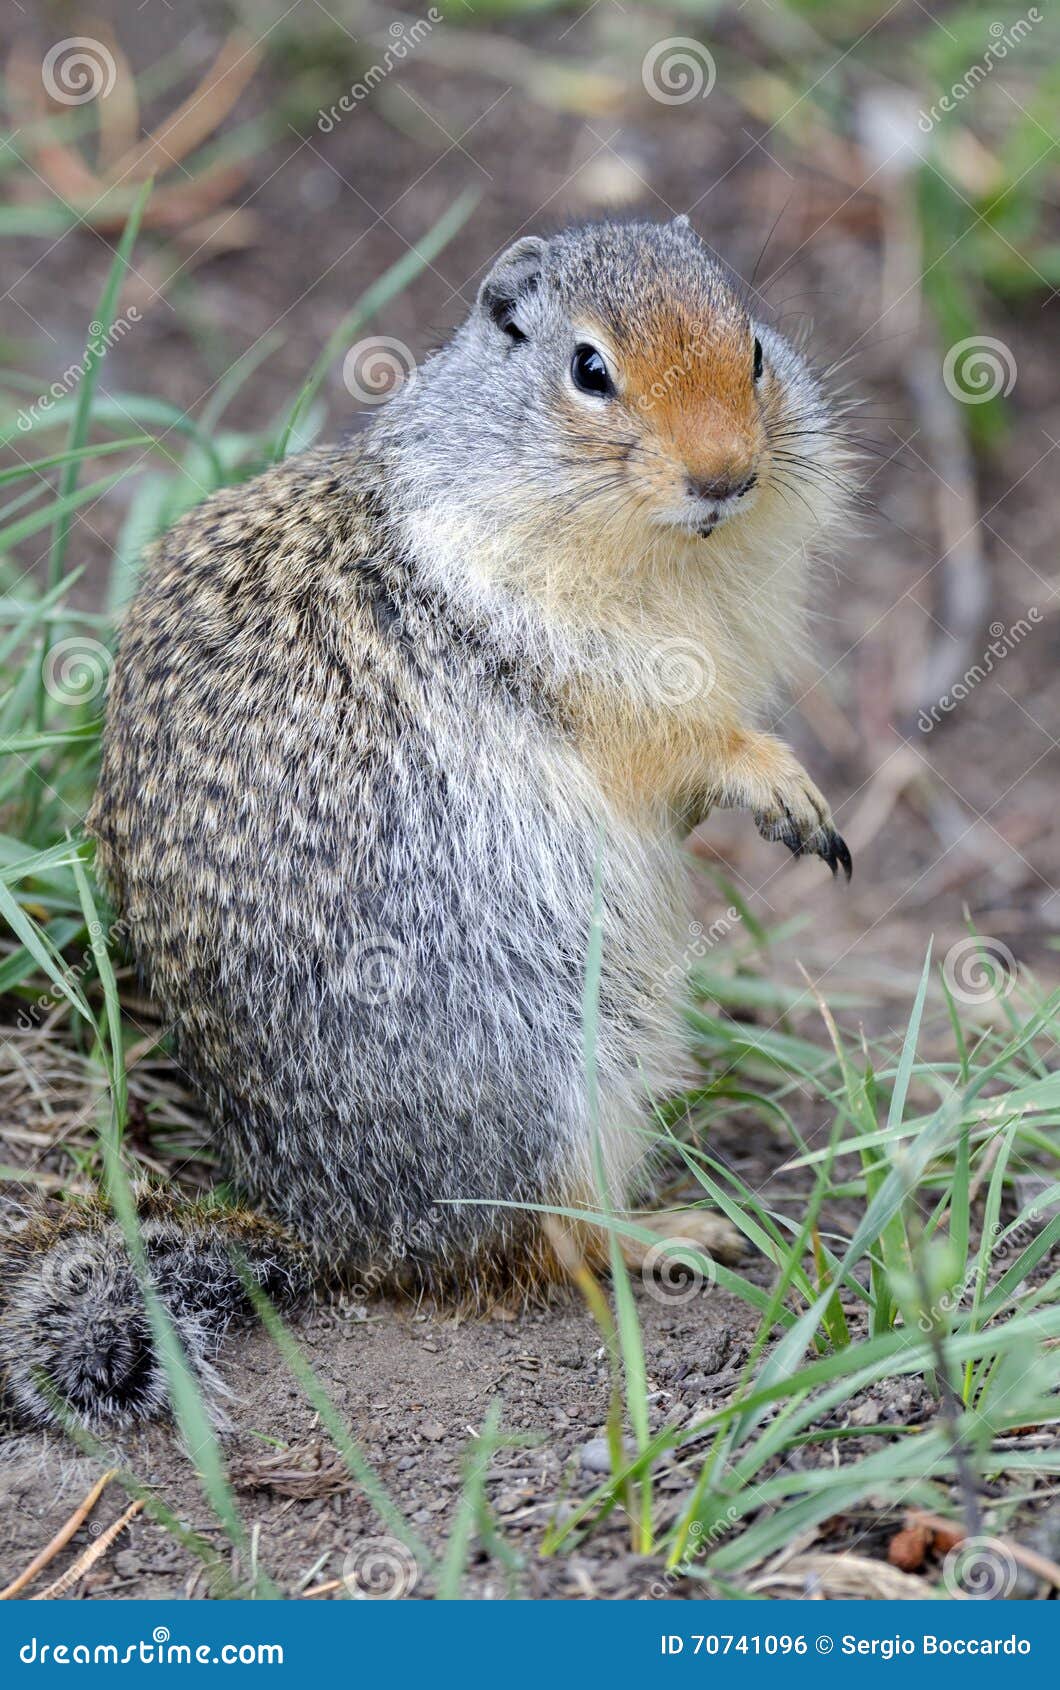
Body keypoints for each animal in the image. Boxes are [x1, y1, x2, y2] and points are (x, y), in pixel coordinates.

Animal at [1, 218, 853, 1432]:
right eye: (588, 368)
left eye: (754, 349)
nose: (726, 476)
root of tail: (328, 1235)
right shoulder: (581, 659)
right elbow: (675, 742)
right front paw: (775, 783)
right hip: (570, 1077)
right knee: (545, 1245)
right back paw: (671, 1235)